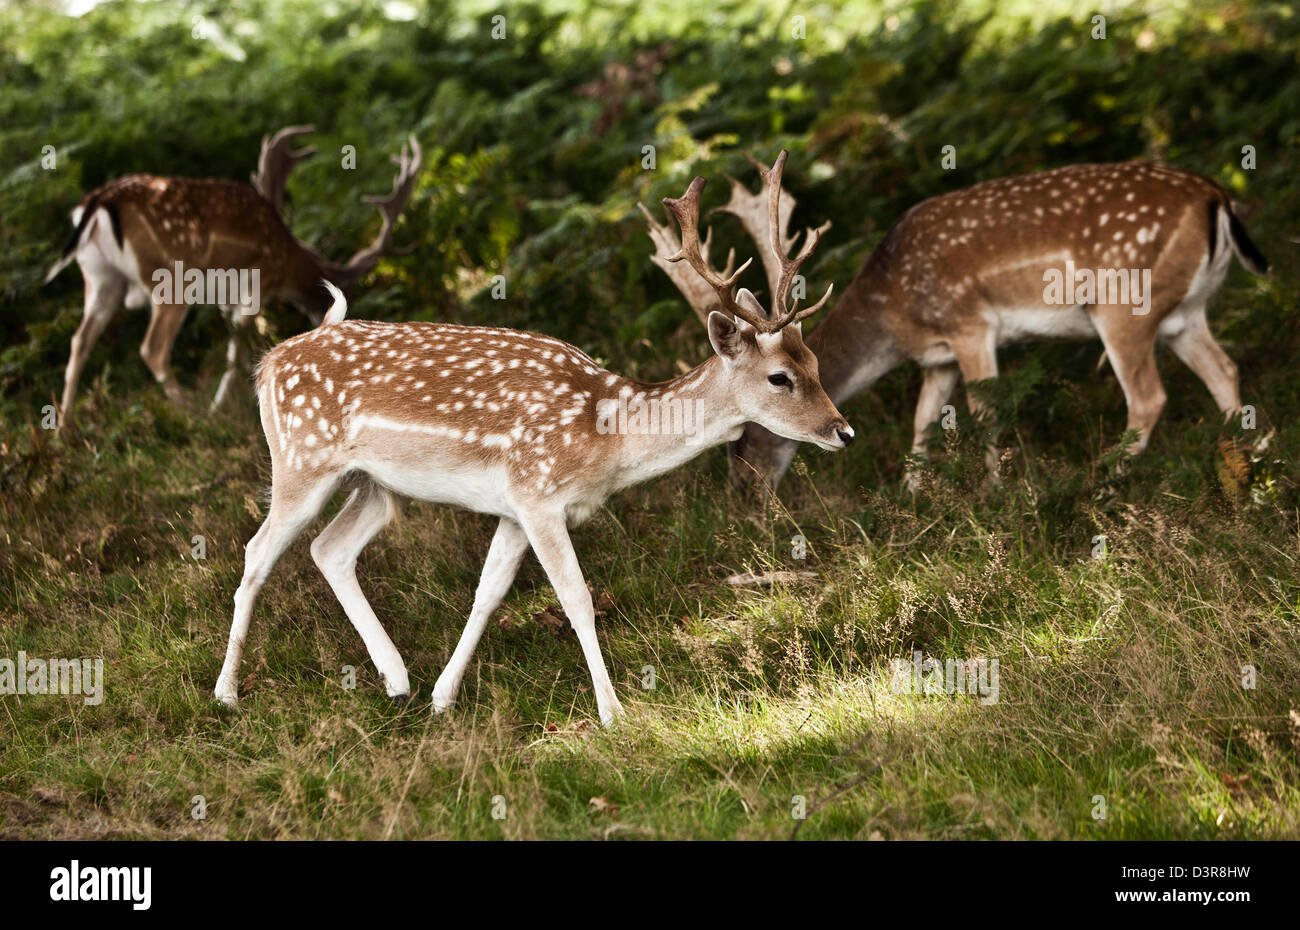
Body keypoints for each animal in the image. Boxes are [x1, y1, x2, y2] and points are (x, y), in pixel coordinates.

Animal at [43, 125, 422, 433]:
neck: (288, 257)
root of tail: (99, 200)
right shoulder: (258, 281)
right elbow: (239, 343)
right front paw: (221, 405)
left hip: (99, 277)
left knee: (79, 340)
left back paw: (63, 430)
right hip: (170, 276)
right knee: (152, 348)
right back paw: (192, 414)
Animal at [213, 152, 853, 727]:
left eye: (816, 362)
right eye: (779, 377)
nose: (843, 430)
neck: (608, 436)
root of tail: (268, 364)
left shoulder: (514, 507)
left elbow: (488, 592)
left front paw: (443, 697)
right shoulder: (539, 492)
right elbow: (576, 597)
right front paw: (613, 713)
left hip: (373, 484)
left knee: (330, 549)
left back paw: (397, 680)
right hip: (300, 459)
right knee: (257, 551)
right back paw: (226, 693)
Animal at [673, 158, 1269, 495]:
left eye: (742, 438)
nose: (745, 499)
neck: (894, 311)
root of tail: (1216, 195)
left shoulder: (969, 322)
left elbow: (985, 411)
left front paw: (993, 493)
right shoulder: (937, 357)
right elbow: (922, 419)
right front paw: (911, 496)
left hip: (1124, 305)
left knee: (1149, 395)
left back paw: (1101, 482)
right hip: (1185, 312)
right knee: (1225, 369)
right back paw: (1247, 470)